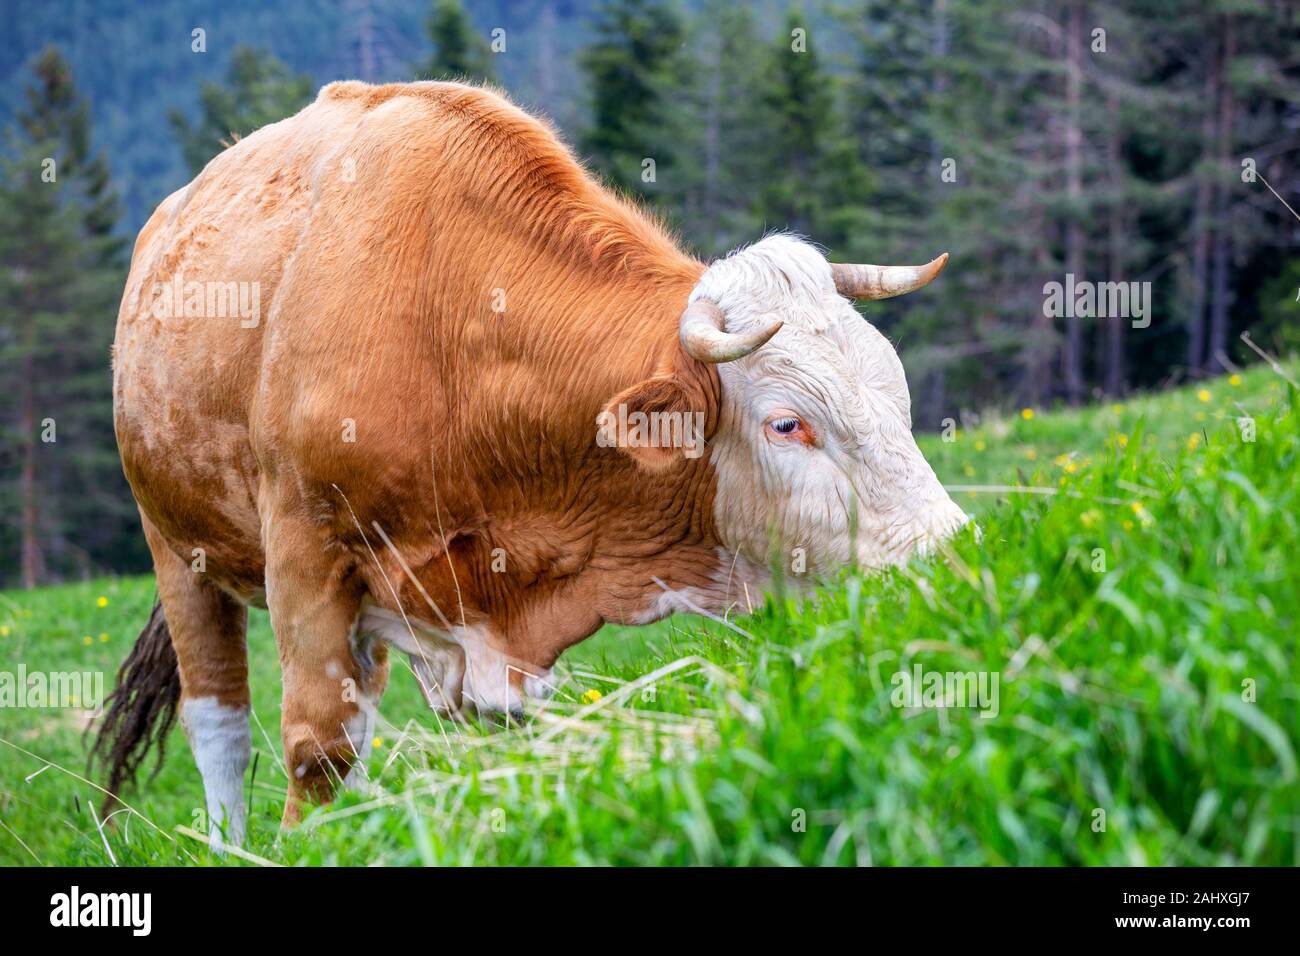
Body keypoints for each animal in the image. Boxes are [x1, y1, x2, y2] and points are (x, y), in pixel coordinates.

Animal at [95, 80, 966, 848]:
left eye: (897, 391)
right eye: (789, 424)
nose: (954, 553)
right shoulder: (307, 560)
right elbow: (316, 747)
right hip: (176, 548)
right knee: (220, 725)